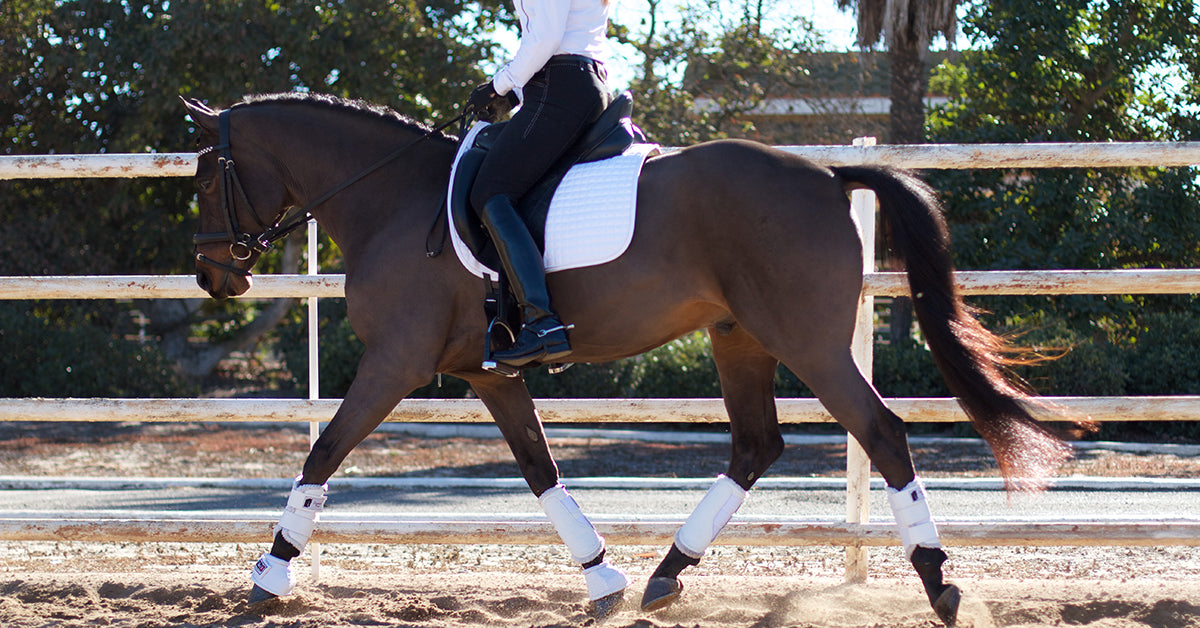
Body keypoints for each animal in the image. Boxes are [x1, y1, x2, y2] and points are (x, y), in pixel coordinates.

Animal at [182, 92, 1074, 627]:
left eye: (203, 176)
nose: (213, 276)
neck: (393, 198)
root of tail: (826, 173)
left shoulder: (394, 362)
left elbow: (324, 452)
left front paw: (269, 575)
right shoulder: (488, 374)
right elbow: (541, 473)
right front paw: (601, 580)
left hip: (806, 341)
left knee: (881, 433)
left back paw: (941, 582)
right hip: (739, 337)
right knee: (756, 446)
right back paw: (664, 576)